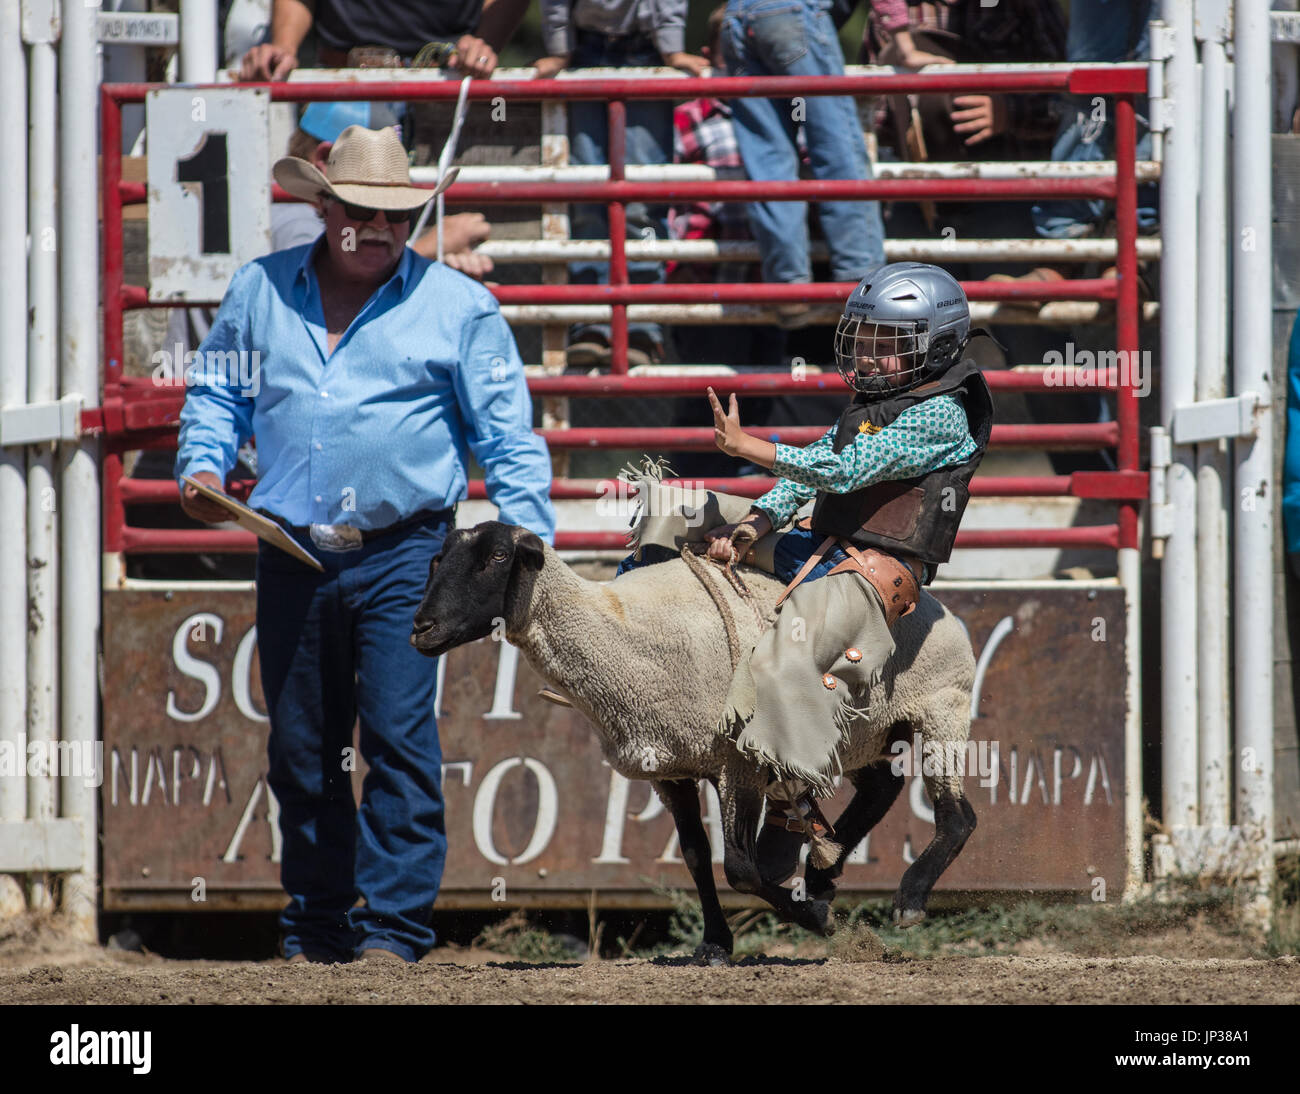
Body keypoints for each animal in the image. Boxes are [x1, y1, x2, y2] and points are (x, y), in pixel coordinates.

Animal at [411, 521, 978, 964]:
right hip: (867, 730)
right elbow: (696, 856)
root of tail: (936, 604)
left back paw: (908, 898)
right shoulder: (671, 768)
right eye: (437, 558)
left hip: (941, 707)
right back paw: (826, 870)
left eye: (497, 557)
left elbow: (742, 868)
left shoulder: (739, 762)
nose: (422, 627)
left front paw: (816, 919)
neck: (619, 635)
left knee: (958, 815)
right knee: (882, 789)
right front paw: (717, 944)